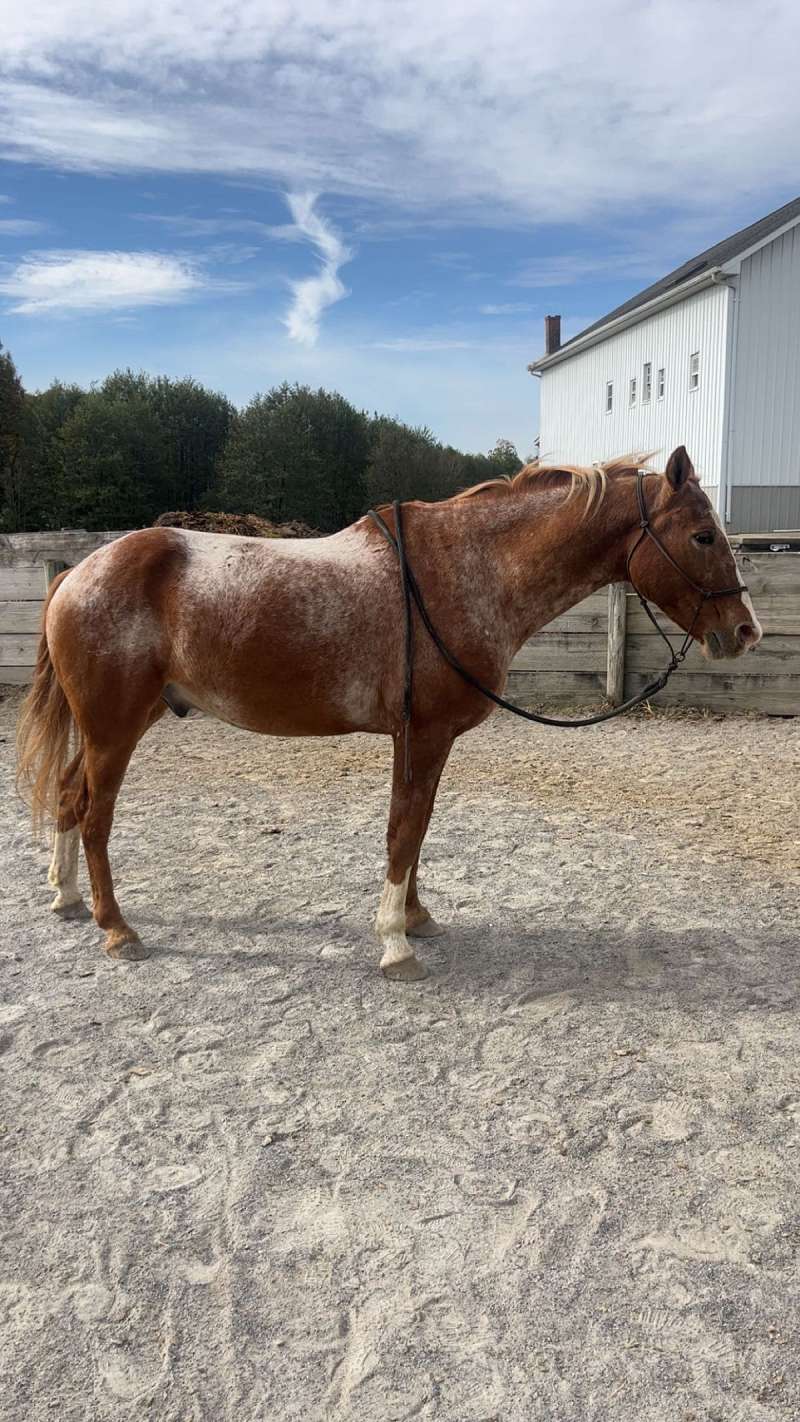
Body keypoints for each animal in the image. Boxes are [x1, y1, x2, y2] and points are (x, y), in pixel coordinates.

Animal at [16, 446, 761, 980]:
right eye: (702, 535)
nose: (746, 631)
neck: (461, 571)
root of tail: (80, 571)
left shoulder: (416, 739)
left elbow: (417, 829)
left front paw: (416, 915)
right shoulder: (426, 734)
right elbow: (405, 833)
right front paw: (396, 945)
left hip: (122, 721)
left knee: (68, 797)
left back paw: (67, 898)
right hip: (114, 728)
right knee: (93, 814)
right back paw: (117, 929)